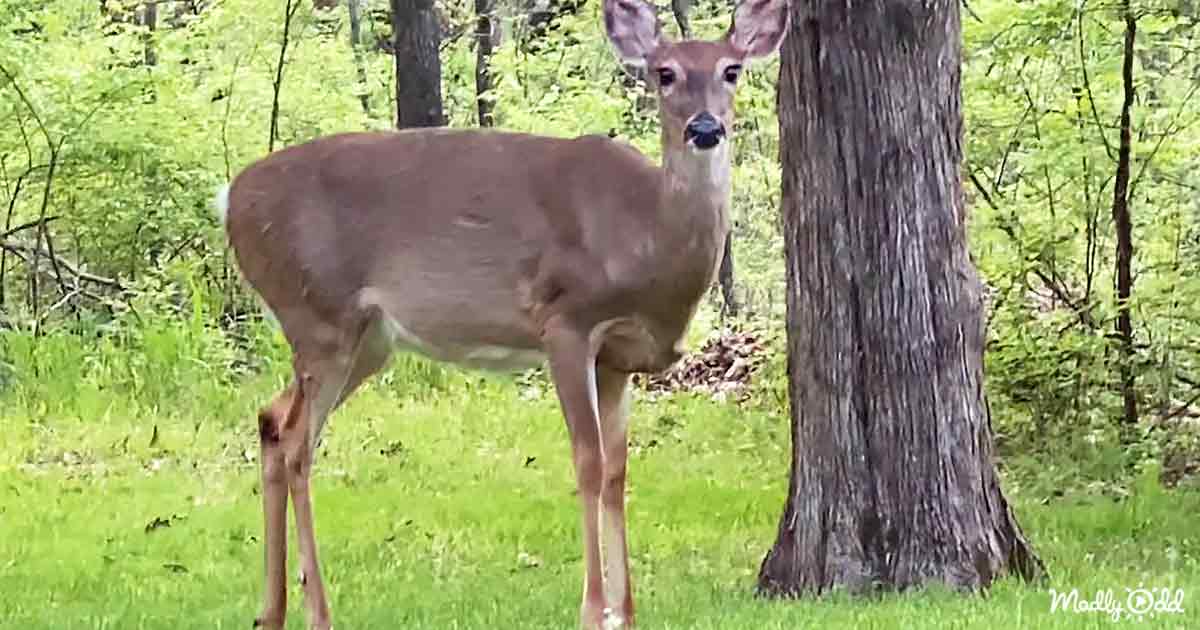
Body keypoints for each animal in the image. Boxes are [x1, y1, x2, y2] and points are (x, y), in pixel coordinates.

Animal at [216, 0, 788, 627]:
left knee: (272, 421)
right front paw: (592, 609)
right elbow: (587, 462)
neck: (646, 241)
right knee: (298, 444)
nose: (705, 128)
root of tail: (230, 199)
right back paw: (318, 612)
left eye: (732, 70)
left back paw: (270, 611)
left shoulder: (617, 358)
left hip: (365, 339)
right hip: (318, 313)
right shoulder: (564, 321)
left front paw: (626, 612)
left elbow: (617, 471)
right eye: (665, 73)